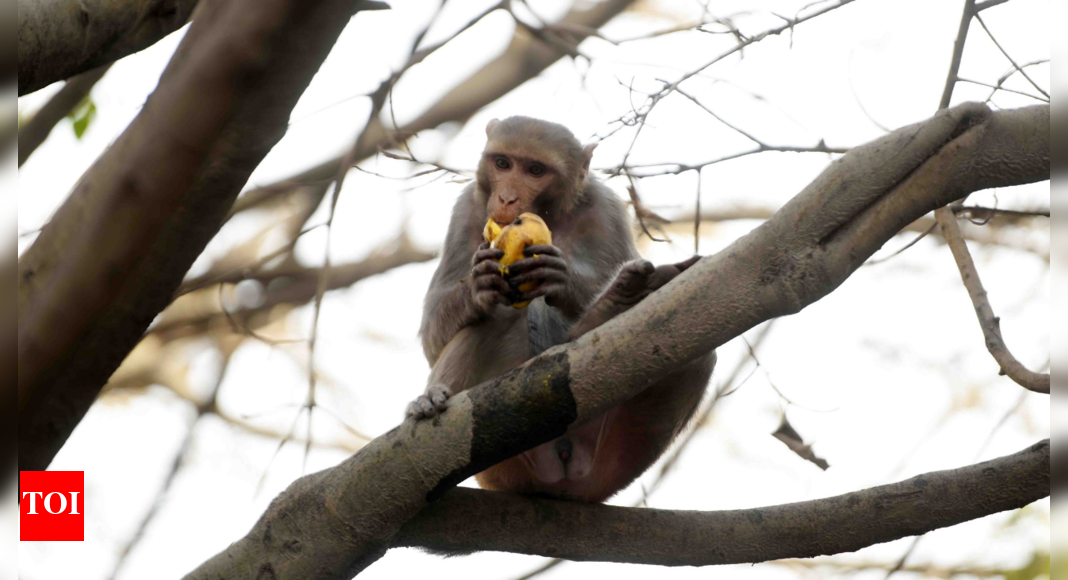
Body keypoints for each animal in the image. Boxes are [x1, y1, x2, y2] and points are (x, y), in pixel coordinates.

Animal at [407, 116, 716, 502]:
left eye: (535, 170)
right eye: (503, 163)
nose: (506, 198)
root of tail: (561, 483)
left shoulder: (606, 209)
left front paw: (562, 279)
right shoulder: (467, 209)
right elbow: (433, 336)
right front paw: (478, 287)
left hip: (608, 461)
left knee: (695, 353)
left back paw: (613, 304)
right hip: (504, 470)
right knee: (499, 315)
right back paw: (431, 399)